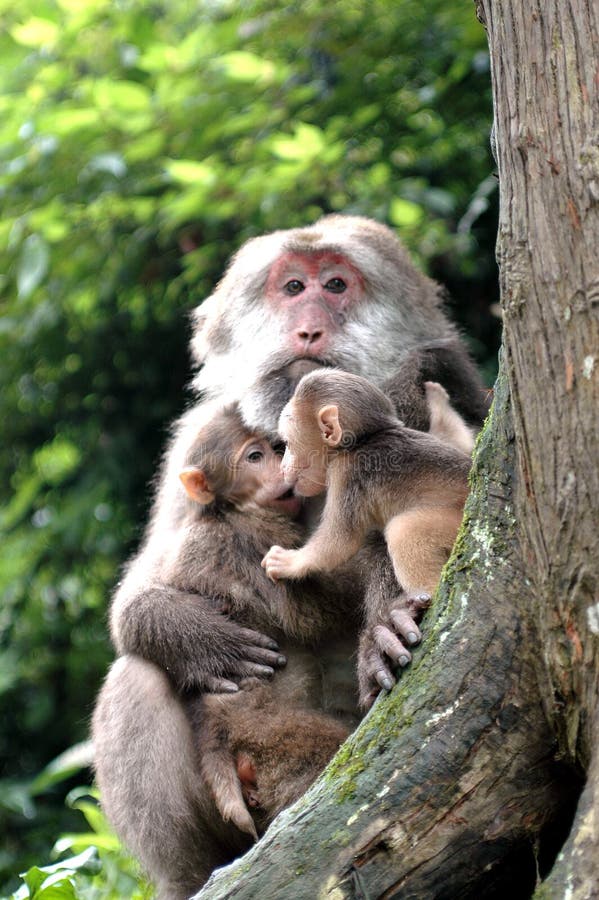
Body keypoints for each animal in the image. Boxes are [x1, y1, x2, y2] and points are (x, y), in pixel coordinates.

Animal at [262, 371, 471, 601]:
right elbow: (462, 444)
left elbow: (339, 544)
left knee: (404, 530)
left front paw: (288, 563)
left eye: (288, 445)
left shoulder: (345, 474)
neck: (362, 441)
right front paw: (438, 401)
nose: (282, 468)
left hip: (457, 522)